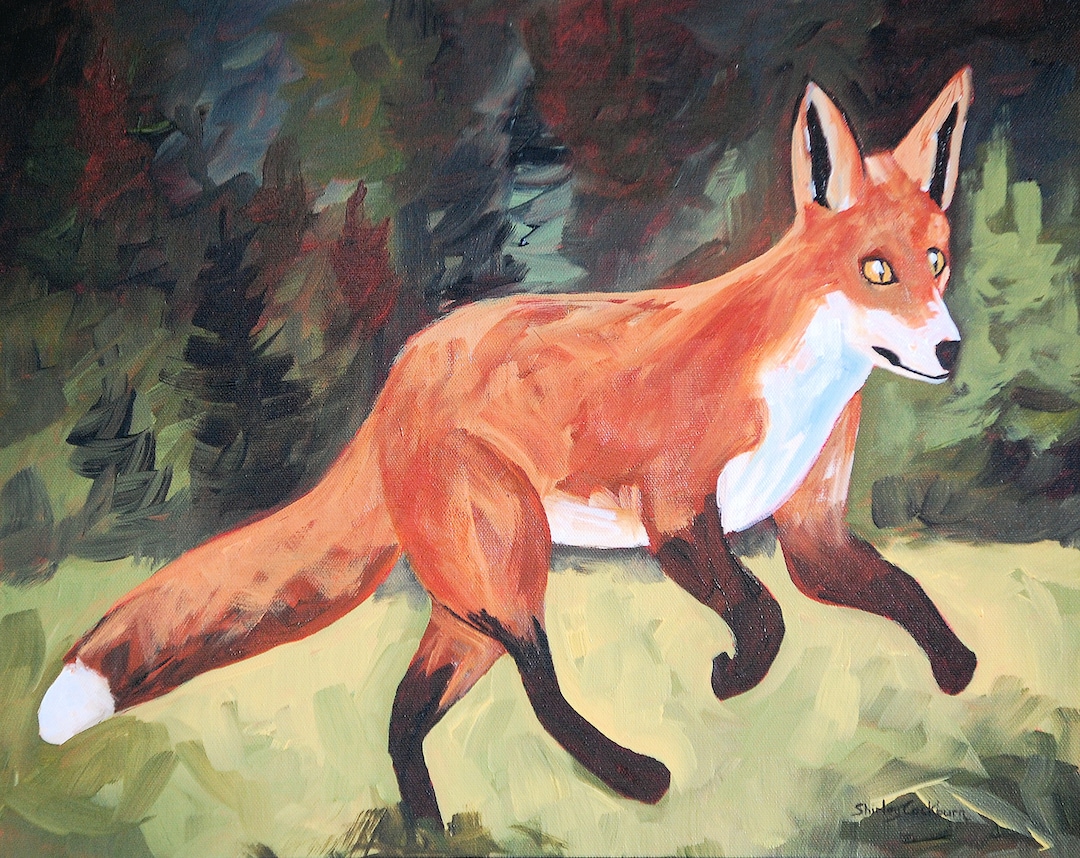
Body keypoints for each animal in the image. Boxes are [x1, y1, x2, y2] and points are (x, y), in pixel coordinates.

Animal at [39, 69, 976, 826]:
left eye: (936, 261)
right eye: (878, 270)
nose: (949, 350)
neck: (799, 381)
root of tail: (399, 376)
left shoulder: (814, 533)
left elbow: (900, 594)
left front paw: (958, 670)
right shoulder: (675, 511)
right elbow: (767, 617)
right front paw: (733, 678)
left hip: (465, 610)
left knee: (403, 720)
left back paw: (427, 831)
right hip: (507, 562)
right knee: (537, 678)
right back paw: (633, 777)